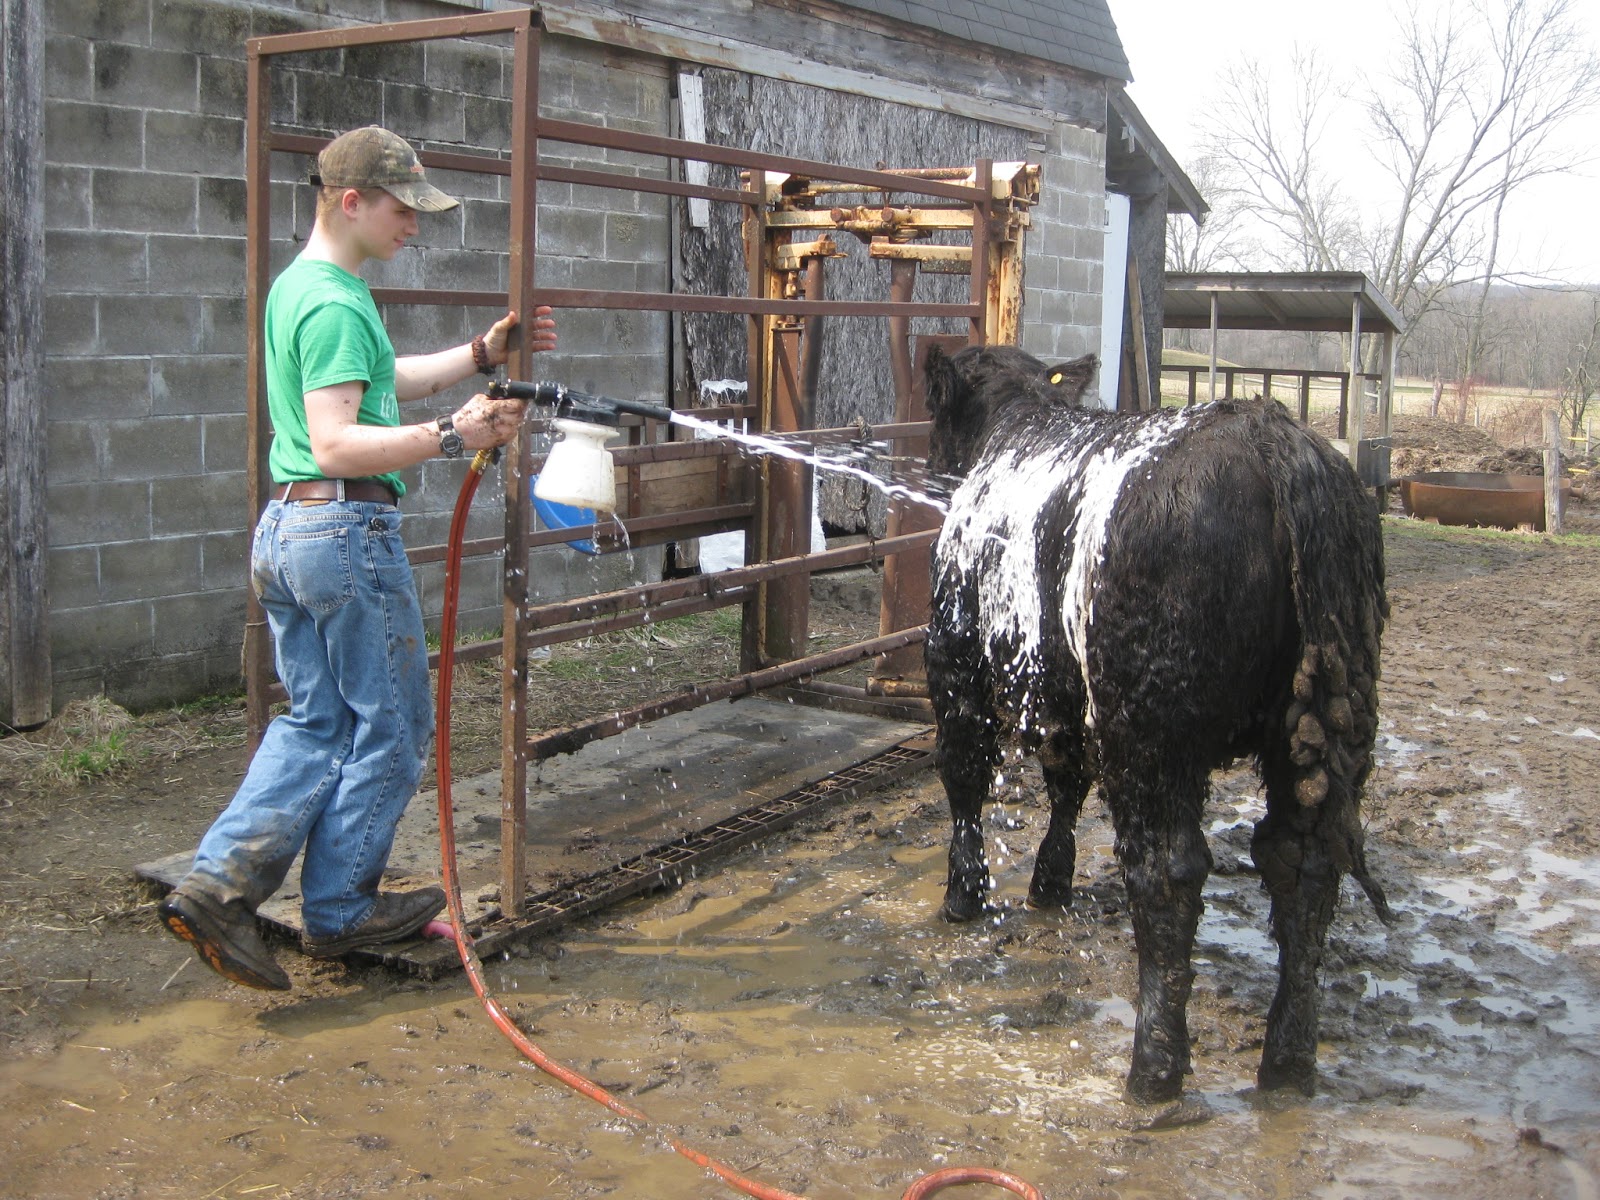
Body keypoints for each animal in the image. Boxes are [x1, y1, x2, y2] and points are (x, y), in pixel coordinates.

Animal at [922, 343, 1391, 1103]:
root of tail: (1276, 443)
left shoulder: (956, 659)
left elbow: (964, 776)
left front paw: (965, 893)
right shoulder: (1063, 686)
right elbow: (1065, 780)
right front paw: (1050, 882)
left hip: (1150, 730)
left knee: (1167, 867)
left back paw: (1154, 1067)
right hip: (1323, 722)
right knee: (1305, 863)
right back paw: (1288, 1061)